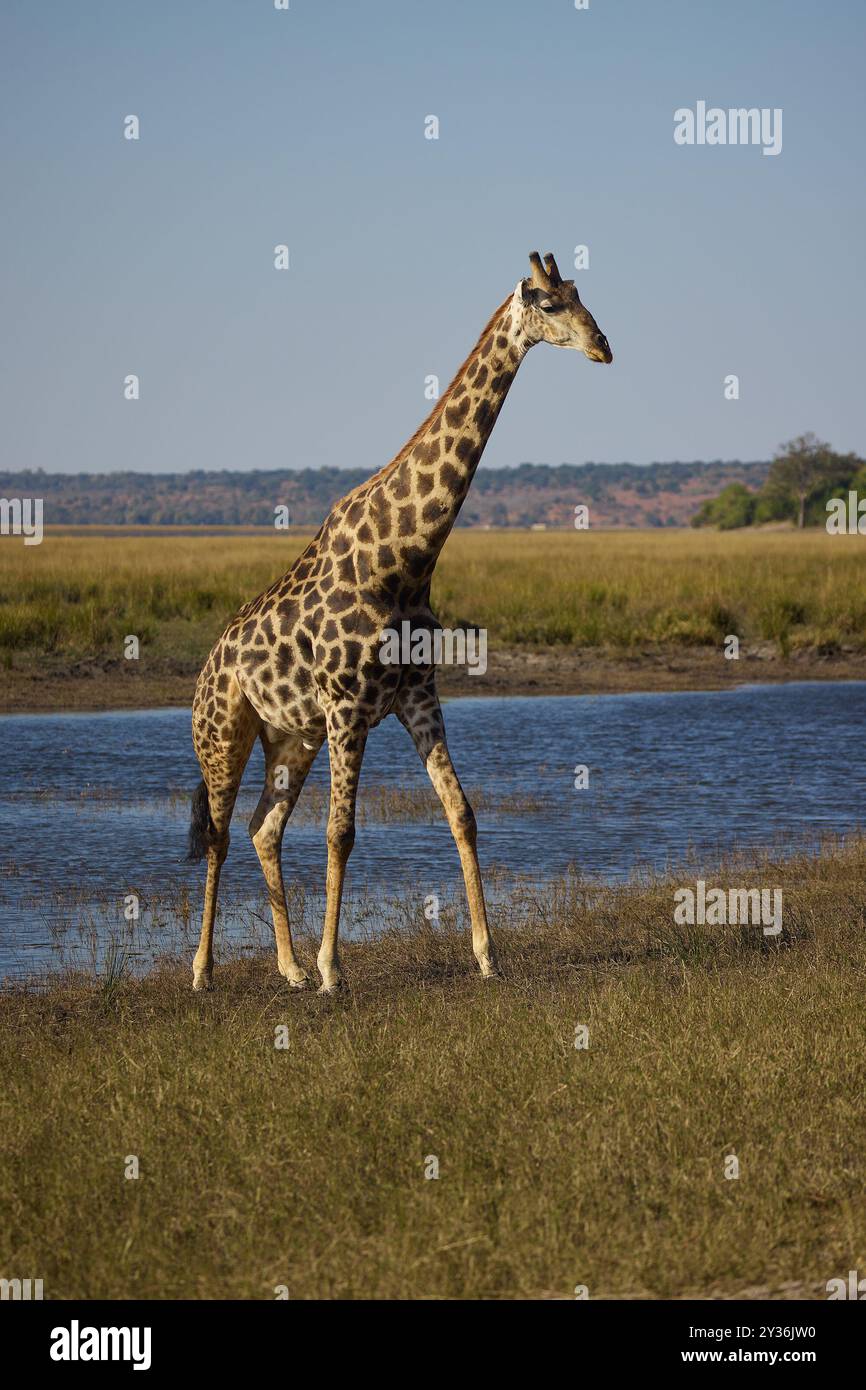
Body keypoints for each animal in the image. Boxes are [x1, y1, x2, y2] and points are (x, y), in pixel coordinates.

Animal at [188, 251, 612, 993]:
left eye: (580, 293)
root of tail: (206, 670)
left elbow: (461, 812)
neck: (407, 557)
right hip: (225, 736)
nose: (603, 345)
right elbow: (342, 833)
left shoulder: (417, 694)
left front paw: (487, 955)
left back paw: (288, 968)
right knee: (217, 834)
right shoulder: (346, 706)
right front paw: (333, 970)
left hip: (289, 739)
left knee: (263, 829)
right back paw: (206, 971)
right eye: (548, 302)